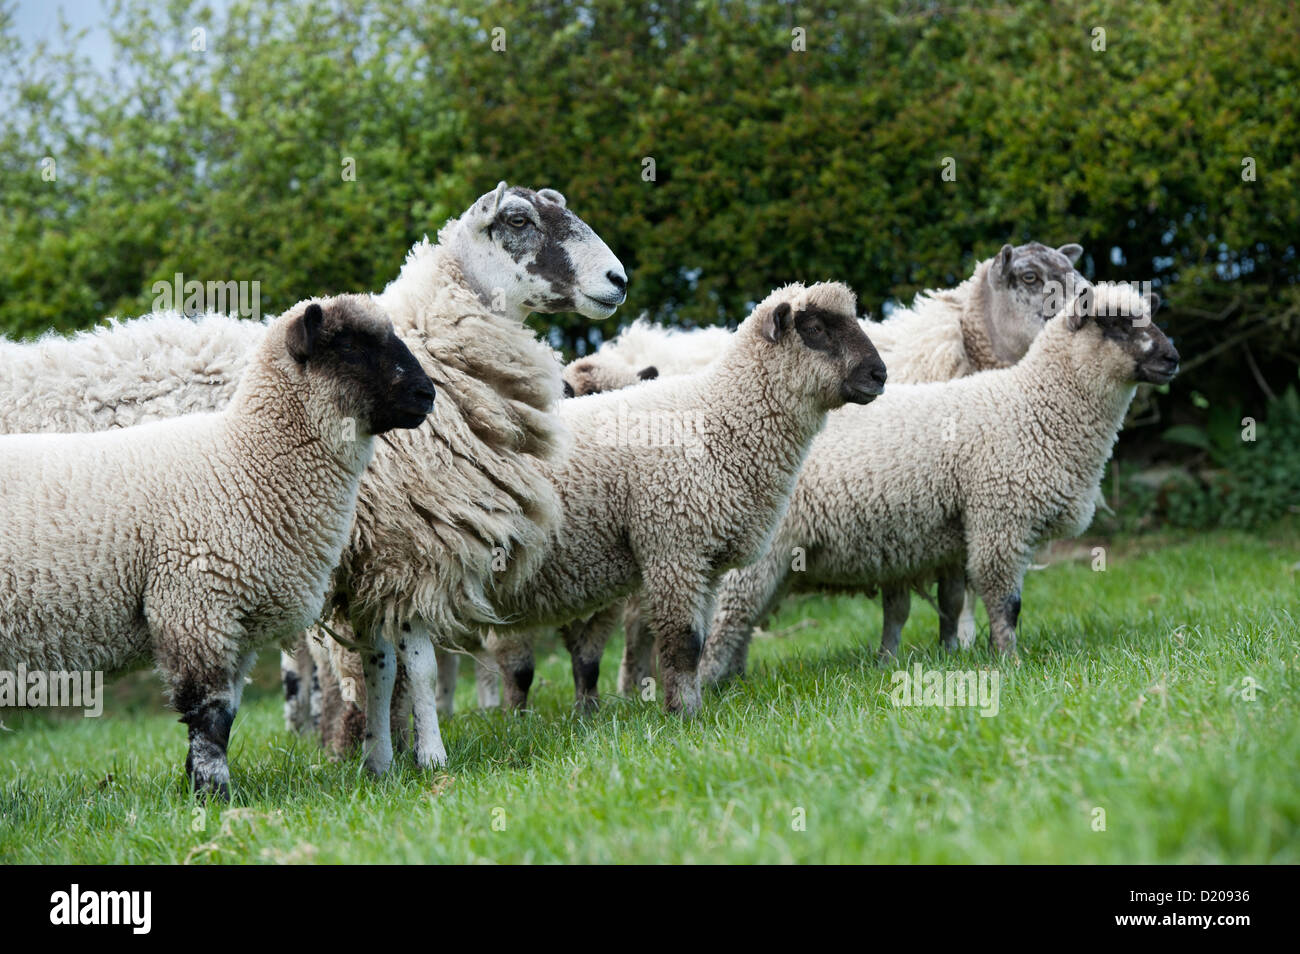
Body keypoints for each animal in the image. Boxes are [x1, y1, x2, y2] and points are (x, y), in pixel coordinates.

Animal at [0, 296, 436, 797]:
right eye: (347, 345)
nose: (427, 394)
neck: (244, 459)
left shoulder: (234, 621)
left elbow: (226, 712)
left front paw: (203, 785)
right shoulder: (195, 605)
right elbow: (209, 713)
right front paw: (213, 794)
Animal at [699, 282, 1176, 682]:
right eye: (1115, 323)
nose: (1172, 358)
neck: (1036, 405)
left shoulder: (956, 538)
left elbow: (952, 605)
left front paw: (957, 654)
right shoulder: (1000, 521)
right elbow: (1007, 604)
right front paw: (1010, 660)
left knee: (739, 625)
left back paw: (733, 682)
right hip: (750, 559)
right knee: (722, 623)